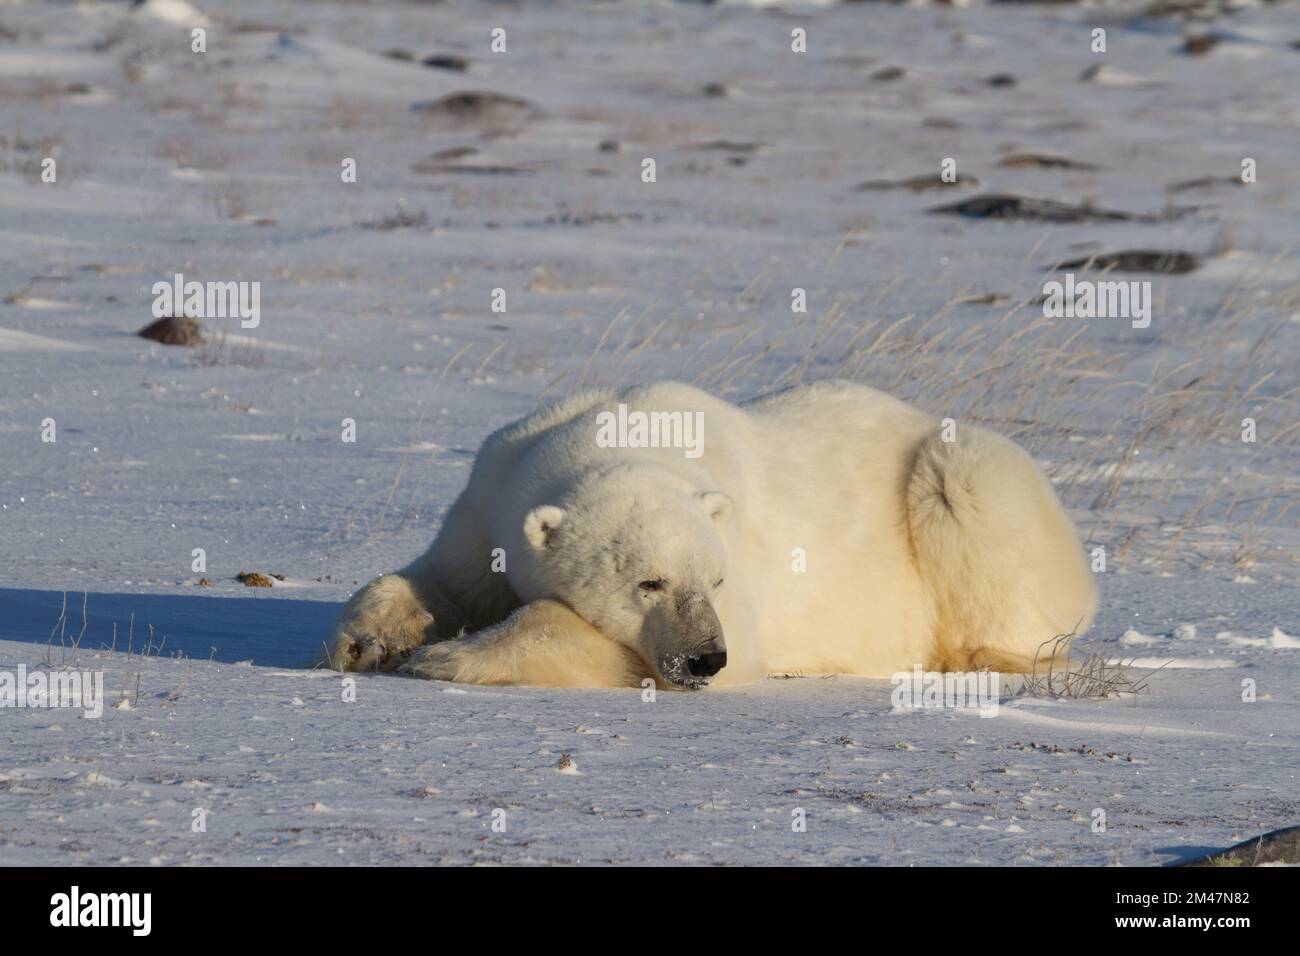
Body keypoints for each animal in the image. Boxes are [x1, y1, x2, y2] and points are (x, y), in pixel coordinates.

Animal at [321, 380, 1097, 688]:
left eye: (716, 580)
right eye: (649, 580)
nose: (704, 658)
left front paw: (450, 659)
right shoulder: (491, 491)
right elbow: (445, 578)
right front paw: (369, 640)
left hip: (968, 478)